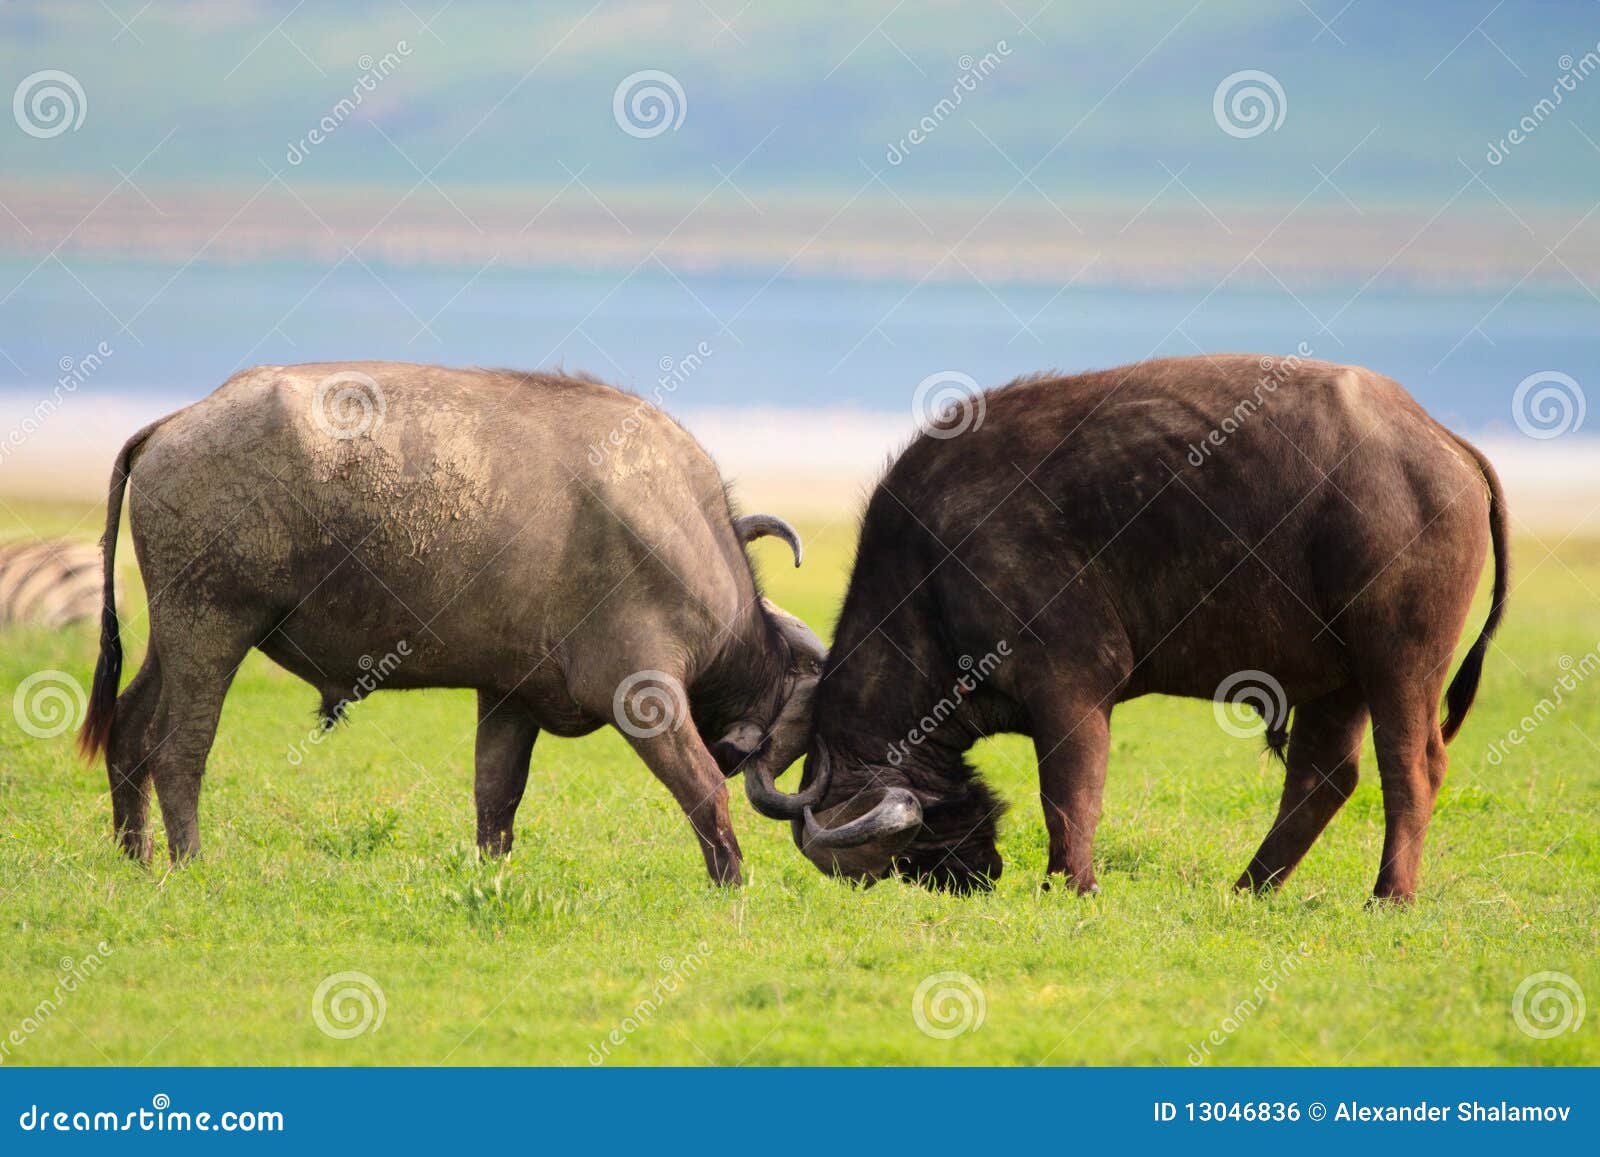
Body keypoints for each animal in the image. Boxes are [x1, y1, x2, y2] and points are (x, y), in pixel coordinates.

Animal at [78, 362, 826, 883]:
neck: (682, 526)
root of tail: (174, 422)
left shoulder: (509, 699)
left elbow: (495, 805)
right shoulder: (643, 696)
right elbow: (702, 789)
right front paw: (733, 884)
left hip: (174, 635)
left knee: (129, 728)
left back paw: (134, 858)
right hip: (211, 630)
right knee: (179, 751)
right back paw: (190, 865)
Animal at [760, 354, 1507, 903]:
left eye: (905, 853)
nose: (967, 879)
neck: (930, 570)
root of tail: (1437, 437)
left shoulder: (1070, 685)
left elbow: (1069, 792)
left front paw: (1070, 885)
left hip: (1399, 662)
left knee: (1410, 768)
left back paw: (1389, 896)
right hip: (1335, 680)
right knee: (1322, 778)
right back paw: (1250, 888)